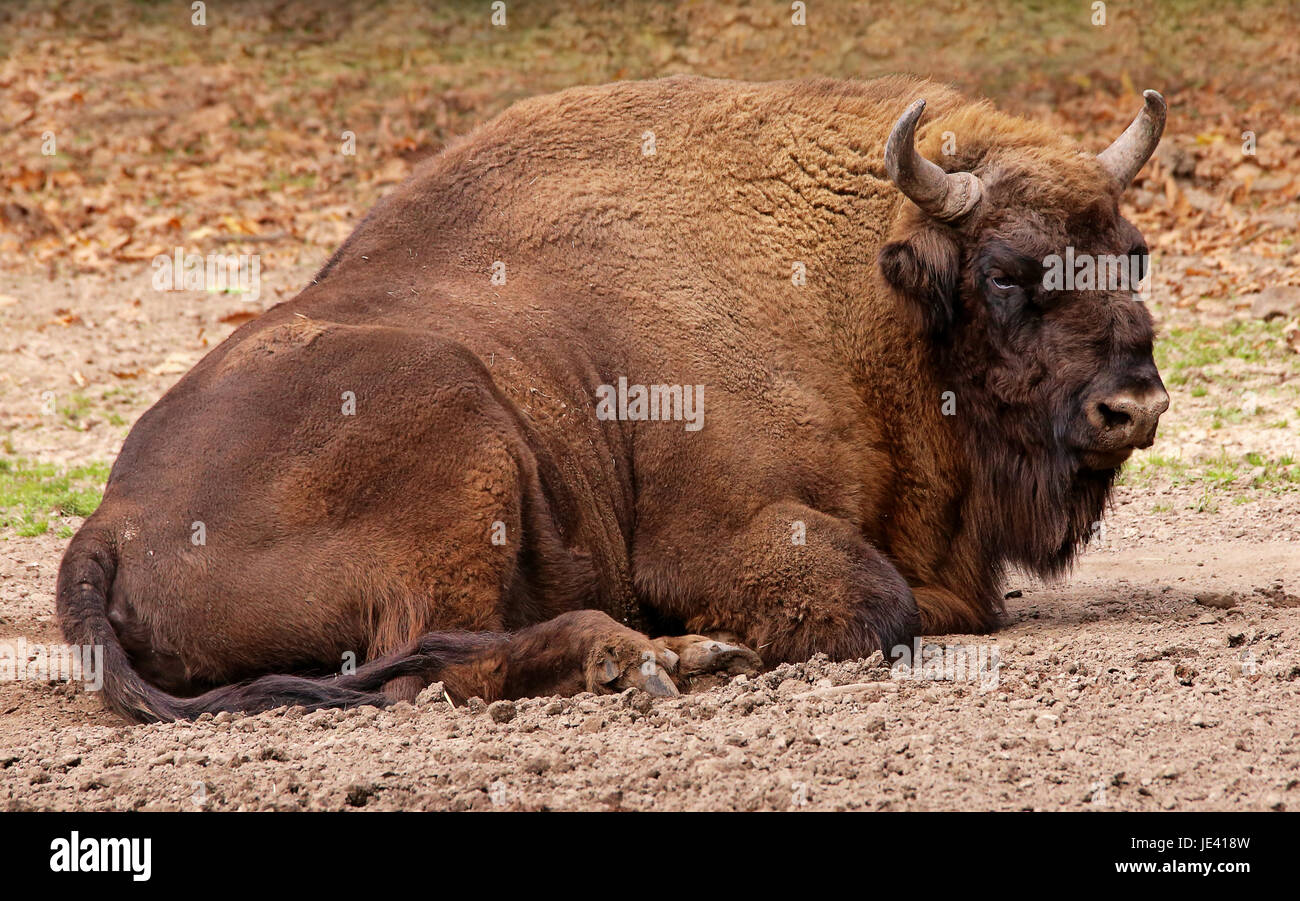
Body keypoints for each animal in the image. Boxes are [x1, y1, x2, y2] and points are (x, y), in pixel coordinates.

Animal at [57, 75, 1168, 722]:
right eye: (1007, 273)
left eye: (1134, 253)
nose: (1135, 408)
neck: (855, 295)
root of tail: (109, 522)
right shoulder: (713, 533)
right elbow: (879, 603)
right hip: (459, 433)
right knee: (438, 664)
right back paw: (644, 659)